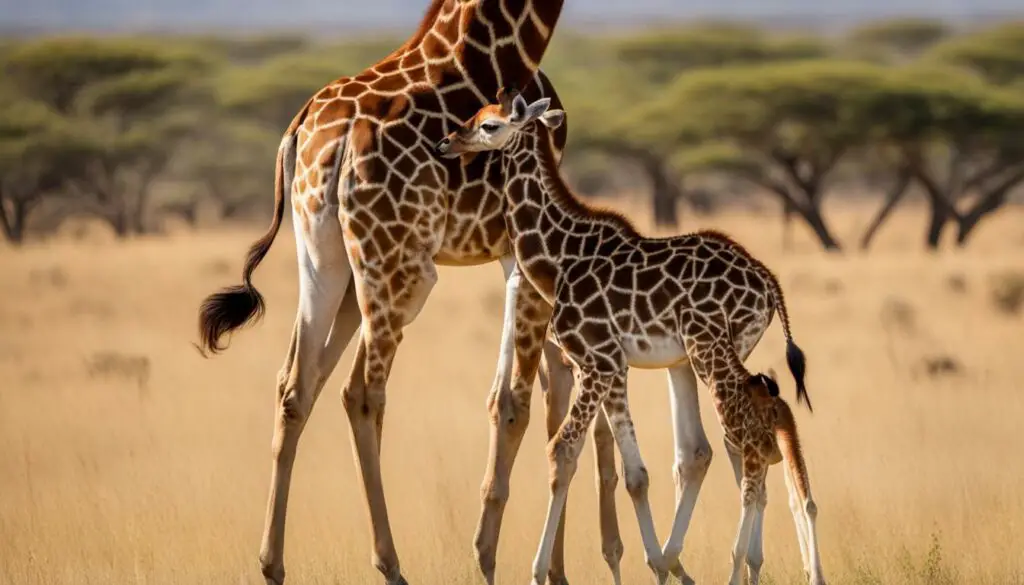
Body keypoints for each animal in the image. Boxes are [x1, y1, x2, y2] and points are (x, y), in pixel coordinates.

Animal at [193, 3, 628, 585]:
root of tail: (309, 133)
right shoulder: (518, 245)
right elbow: (514, 398)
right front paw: (489, 556)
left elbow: (551, 386)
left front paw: (554, 565)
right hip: (403, 271)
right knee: (360, 391)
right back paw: (391, 562)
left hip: (330, 264)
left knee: (295, 386)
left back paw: (272, 562)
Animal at [436, 90, 827, 585]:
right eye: (475, 113)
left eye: (490, 124)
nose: (447, 142)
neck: (557, 257)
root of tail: (768, 283)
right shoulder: (612, 366)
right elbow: (635, 471)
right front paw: (658, 563)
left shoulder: (596, 361)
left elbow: (563, 451)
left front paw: (538, 570)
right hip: (708, 357)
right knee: (731, 446)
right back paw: (746, 565)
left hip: (709, 352)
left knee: (749, 443)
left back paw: (742, 566)